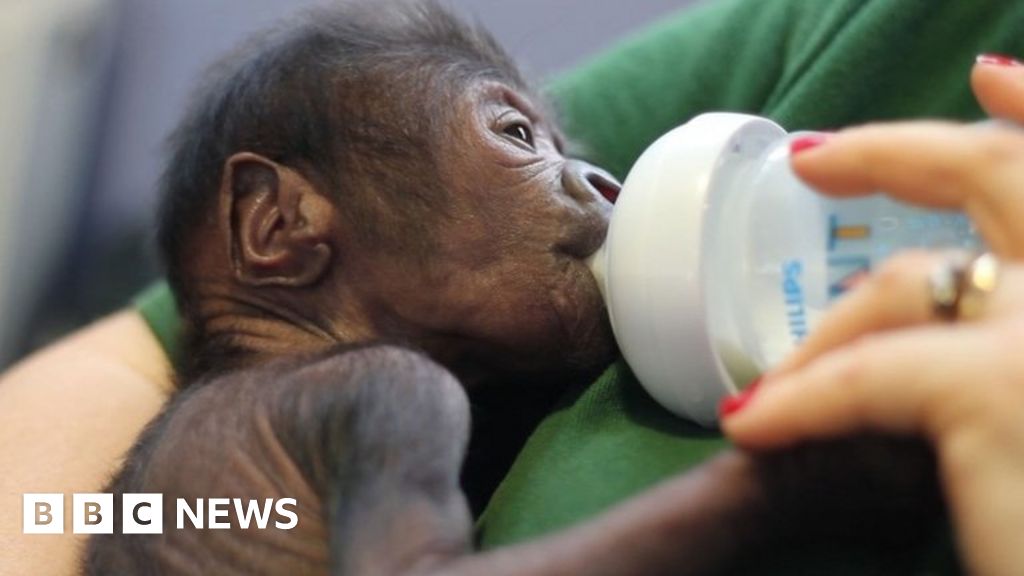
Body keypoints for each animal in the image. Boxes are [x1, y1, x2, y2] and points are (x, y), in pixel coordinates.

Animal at [84, 2, 945, 574]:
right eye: (519, 136)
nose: (607, 182)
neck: (284, 348)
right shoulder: (394, 389)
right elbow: (416, 567)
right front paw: (840, 467)